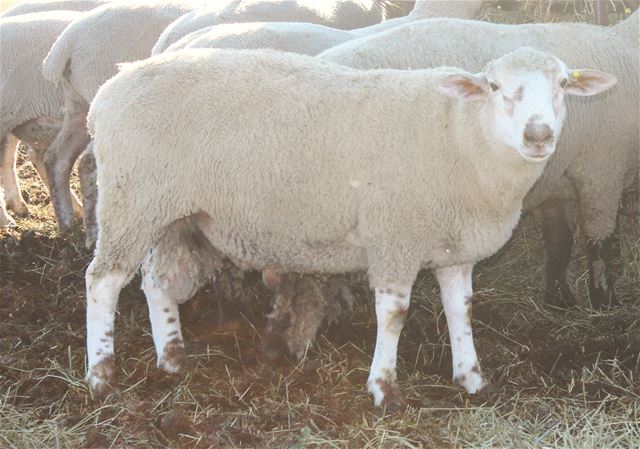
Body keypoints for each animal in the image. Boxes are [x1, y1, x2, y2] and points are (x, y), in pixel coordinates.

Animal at [83, 46, 615, 405]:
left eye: (563, 85)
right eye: (496, 87)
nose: (538, 135)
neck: (461, 135)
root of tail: (110, 89)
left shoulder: (454, 246)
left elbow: (461, 310)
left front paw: (471, 377)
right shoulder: (395, 236)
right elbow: (394, 314)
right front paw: (383, 389)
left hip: (172, 213)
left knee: (157, 283)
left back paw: (172, 360)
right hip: (132, 199)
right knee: (103, 281)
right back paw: (101, 375)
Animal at [318, 11, 639, 309]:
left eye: (563, 83)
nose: (538, 135)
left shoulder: (555, 182)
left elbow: (559, 239)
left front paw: (557, 297)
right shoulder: (602, 167)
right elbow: (599, 240)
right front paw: (604, 301)